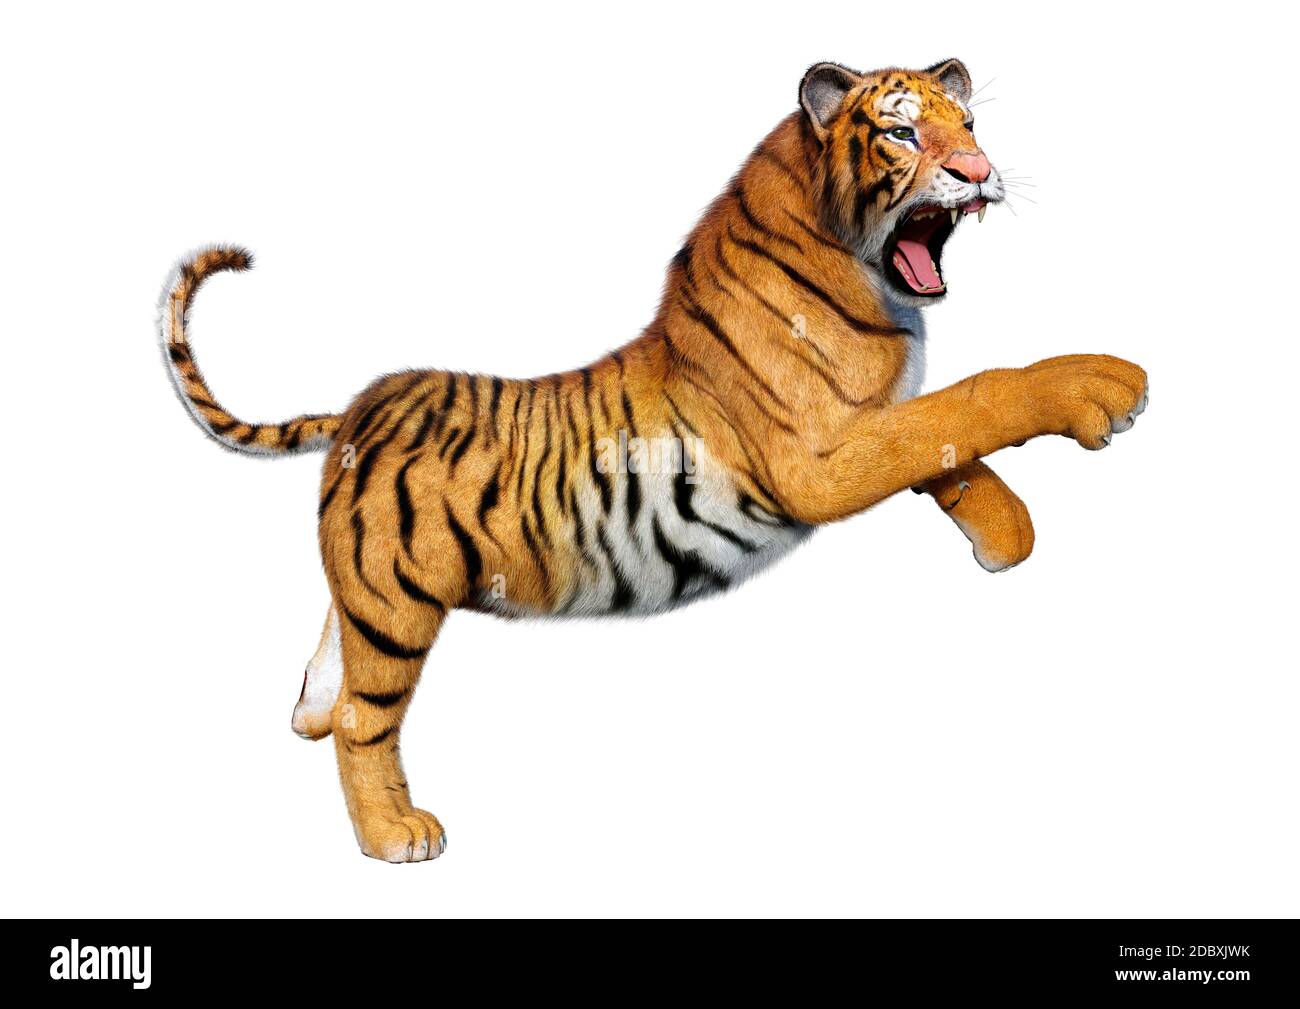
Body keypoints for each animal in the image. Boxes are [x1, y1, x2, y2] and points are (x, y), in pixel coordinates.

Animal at [160, 58, 1148, 862]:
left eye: (969, 124)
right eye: (904, 131)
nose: (980, 174)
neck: (870, 276)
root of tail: (359, 410)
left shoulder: (867, 427)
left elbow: (943, 444)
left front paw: (1005, 533)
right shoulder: (820, 458)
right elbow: (972, 399)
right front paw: (1105, 384)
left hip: (368, 590)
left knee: (331, 669)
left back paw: (309, 711)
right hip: (398, 602)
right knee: (366, 723)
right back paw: (395, 832)